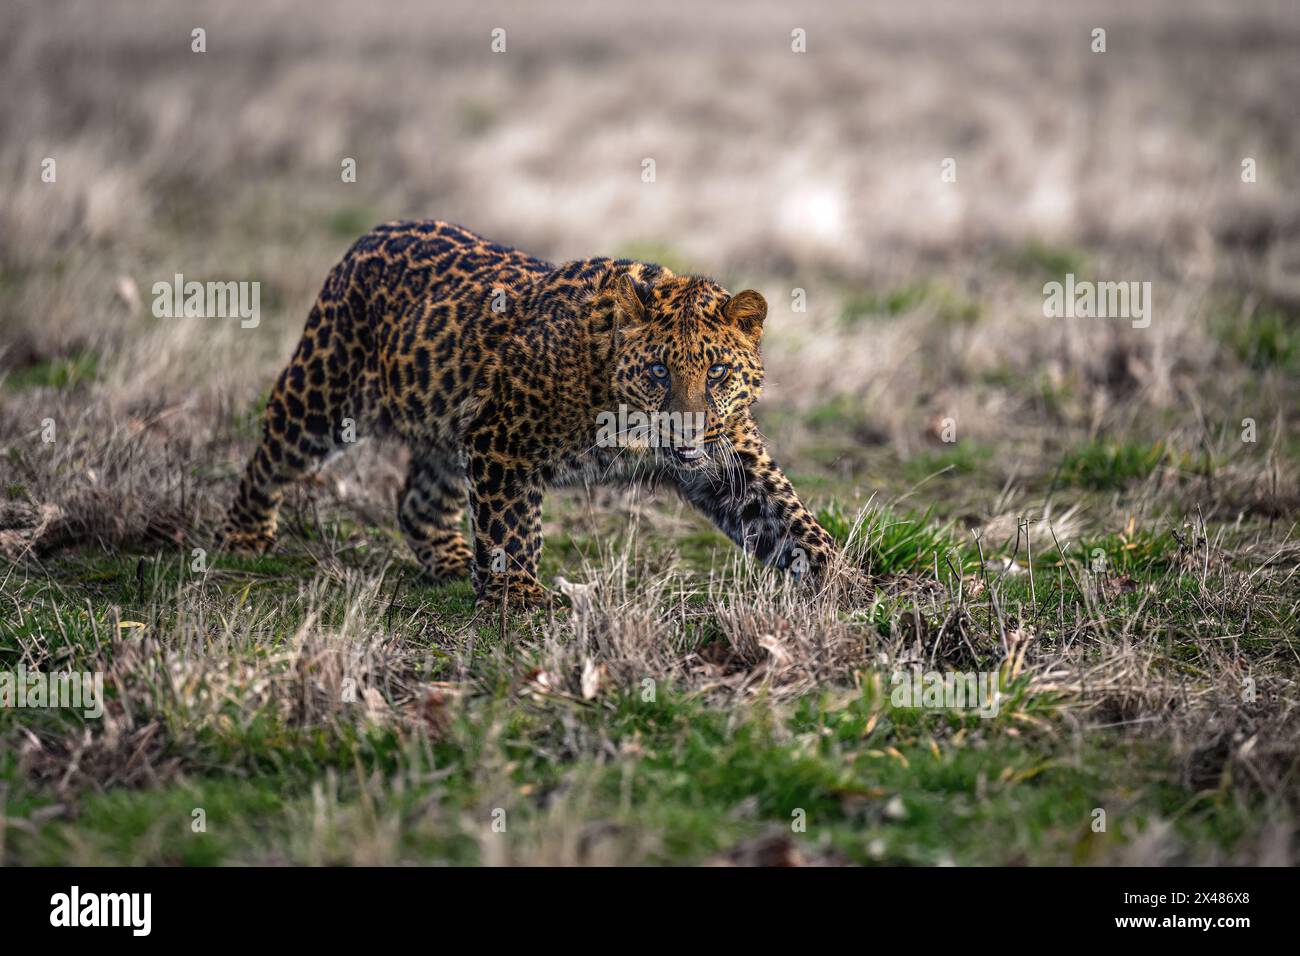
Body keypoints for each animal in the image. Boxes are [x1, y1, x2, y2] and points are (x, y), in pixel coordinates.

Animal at [220, 220, 839, 608]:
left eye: (717, 372)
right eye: (659, 370)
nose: (685, 432)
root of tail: (373, 234)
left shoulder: (730, 461)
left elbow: (793, 522)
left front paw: (846, 582)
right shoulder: (501, 441)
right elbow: (512, 528)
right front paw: (517, 600)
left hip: (447, 431)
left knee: (419, 502)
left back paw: (452, 563)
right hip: (322, 393)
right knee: (269, 459)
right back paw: (242, 539)